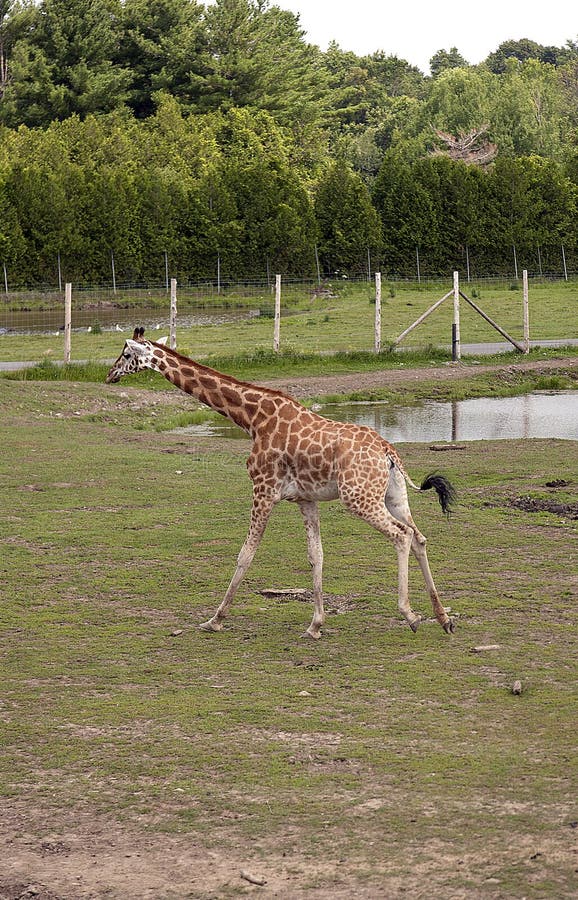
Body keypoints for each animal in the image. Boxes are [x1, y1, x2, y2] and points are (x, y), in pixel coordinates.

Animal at [106, 328, 457, 639]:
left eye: (126, 354)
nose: (110, 375)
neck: (252, 418)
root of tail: (387, 450)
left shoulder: (263, 489)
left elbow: (246, 553)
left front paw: (214, 620)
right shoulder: (305, 498)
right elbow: (316, 555)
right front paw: (315, 625)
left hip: (359, 498)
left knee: (401, 535)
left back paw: (410, 614)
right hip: (393, 496)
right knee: (419, 537)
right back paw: (443, 618)